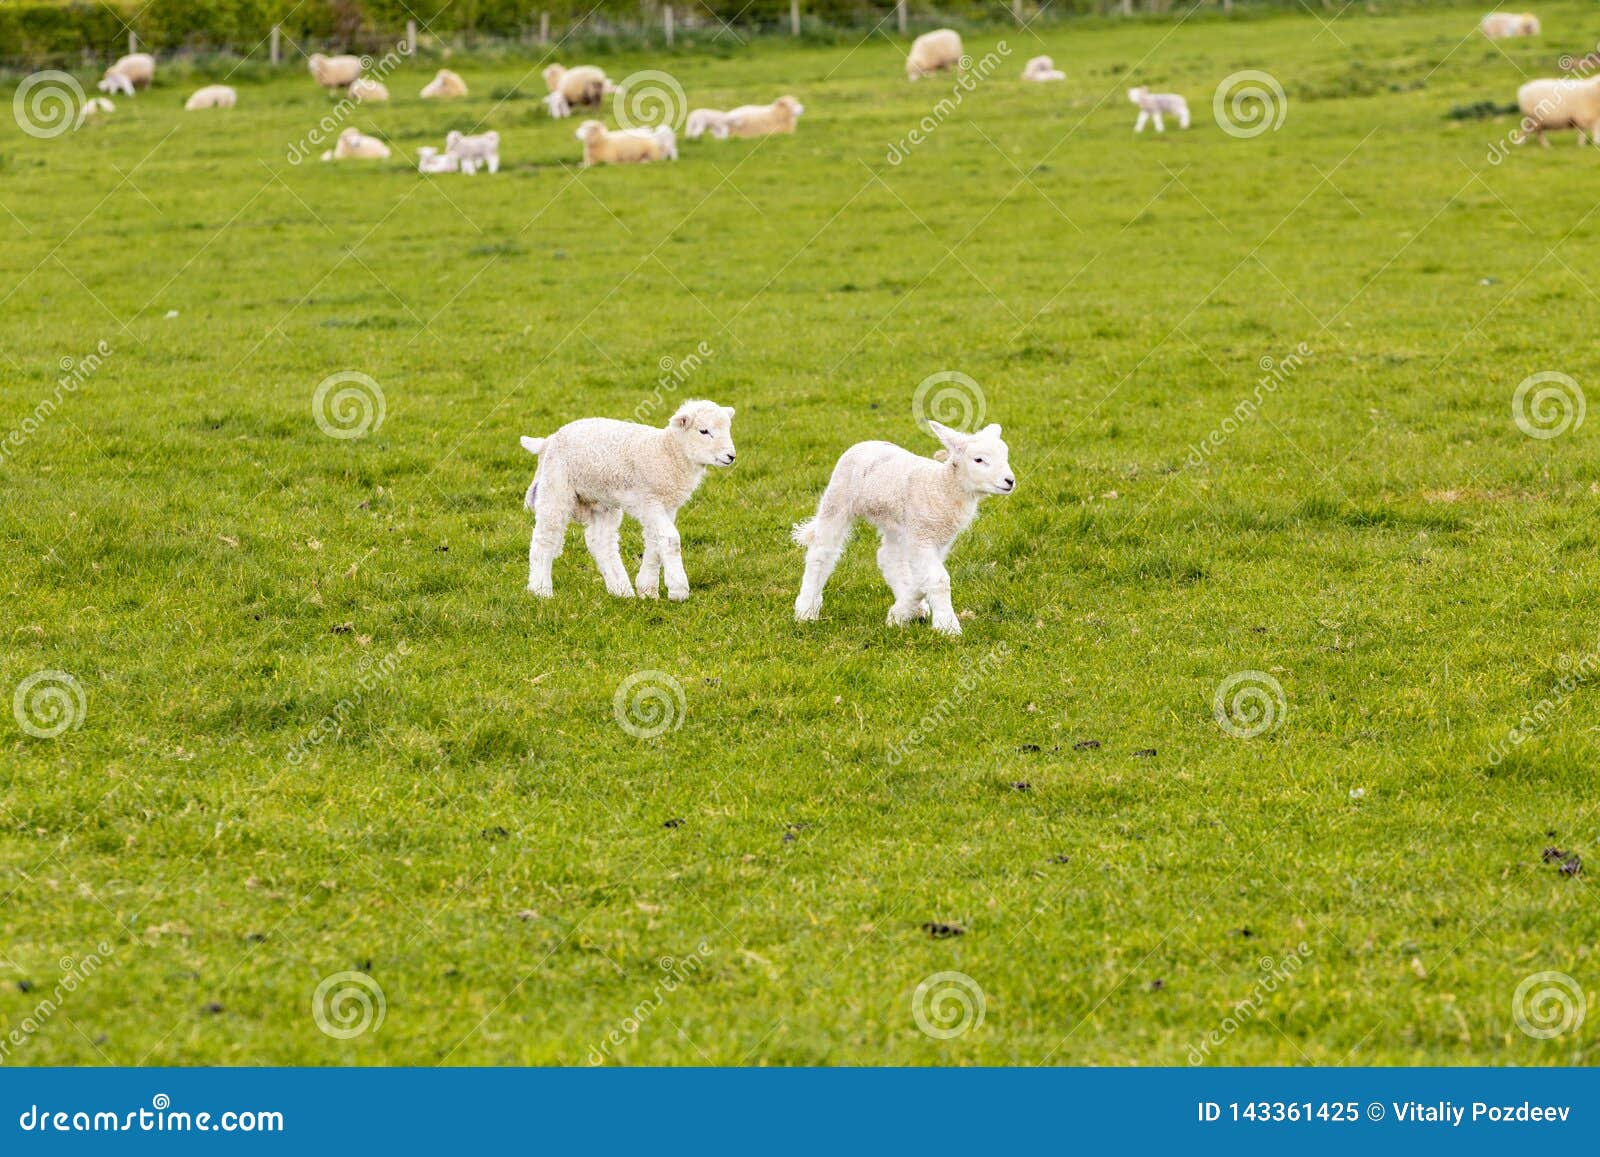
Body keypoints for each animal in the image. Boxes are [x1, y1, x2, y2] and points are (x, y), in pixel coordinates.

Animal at [519, 400, 737, 600]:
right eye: (704, 431)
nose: (731, 456)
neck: (667, 453)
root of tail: (549, 440)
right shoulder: (650, 501)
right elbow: (670, 539)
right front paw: (678, 589)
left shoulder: (665, 506)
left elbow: (654, 541)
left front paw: (647, 589)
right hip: (555, 487)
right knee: (545, 537)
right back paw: (541, 591)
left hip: (603, 501)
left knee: (601, 541)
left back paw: (621, 590)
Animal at [793, 421, 1014, 636]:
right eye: (979, 460)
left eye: (1005, 456)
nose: (1010, 481)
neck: (942, 487)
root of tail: (866, 442)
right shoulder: (921, 536)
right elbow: (938, 579)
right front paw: (948, 627)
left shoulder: (937, 539)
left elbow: (923, 579)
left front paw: (898, 614)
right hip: (837, 498)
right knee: (822, 553)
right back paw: (806, 611)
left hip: (895, 522)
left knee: (888, 557)